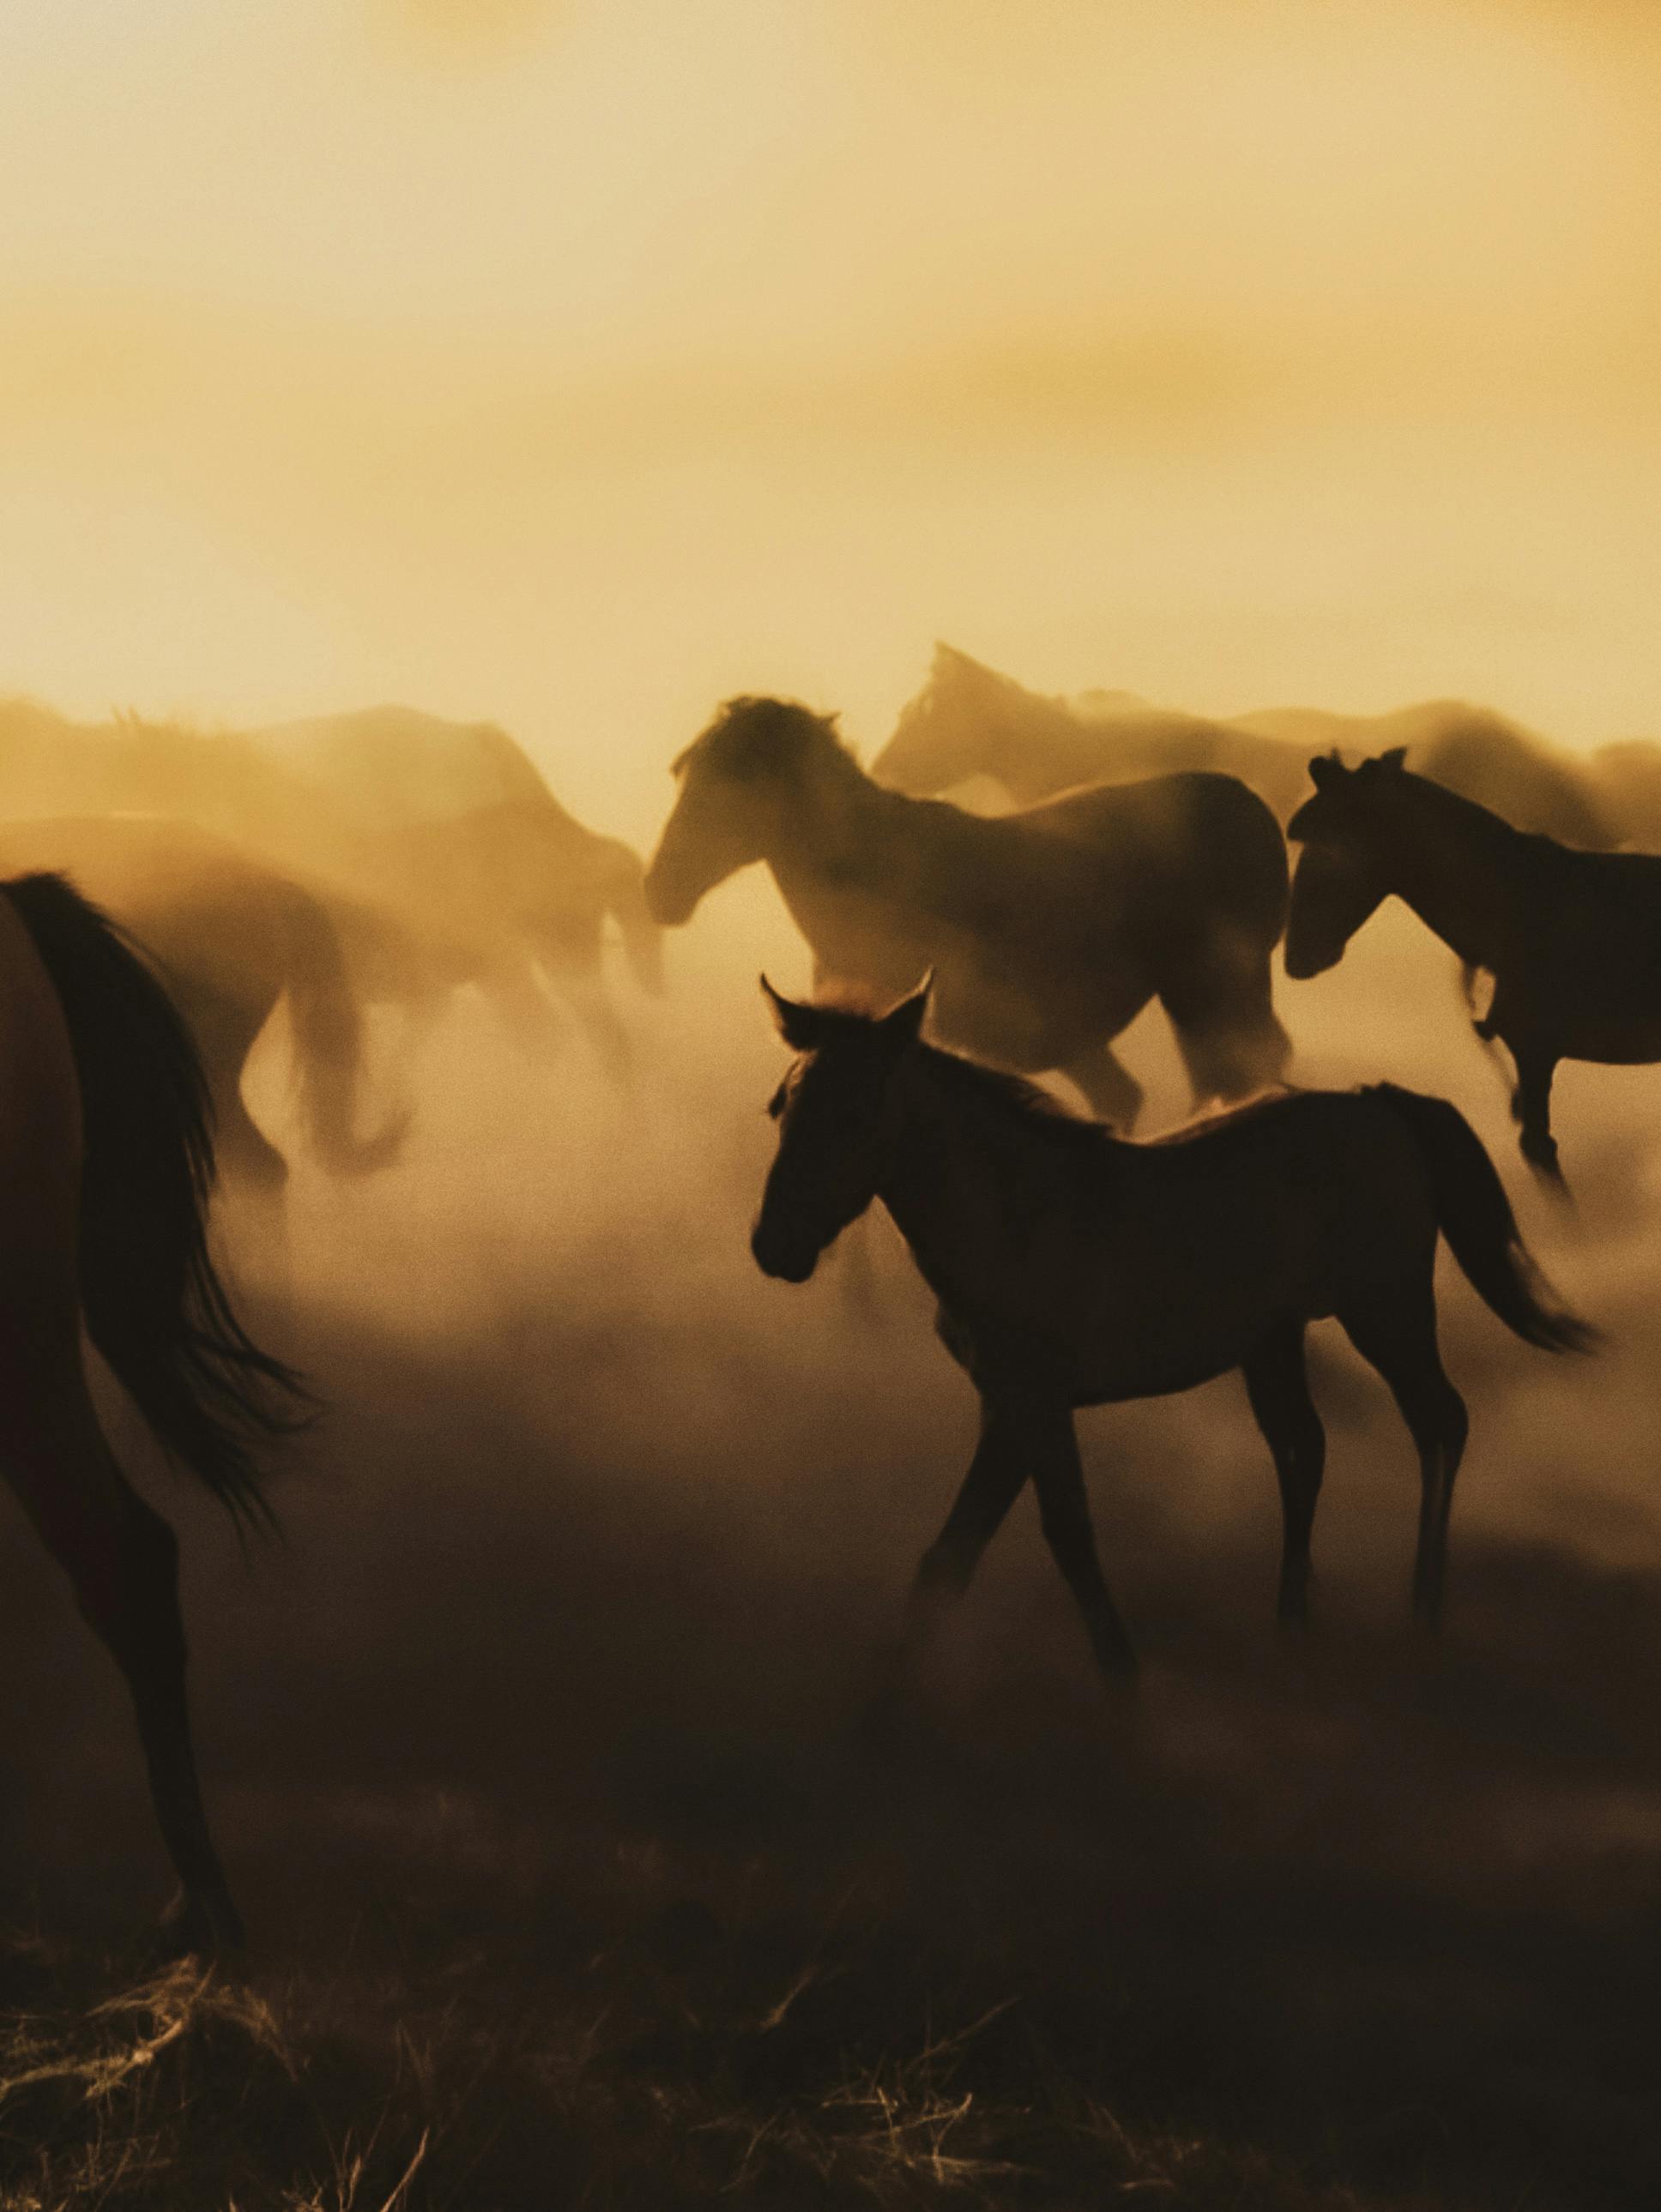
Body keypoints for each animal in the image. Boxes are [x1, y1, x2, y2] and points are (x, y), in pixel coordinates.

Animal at [751, 980, 1590, 1680]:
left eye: (856, 1114)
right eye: (781, 1105)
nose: (773, 1245)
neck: (1017, 1217)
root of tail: (1376, 1103)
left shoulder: (1032, 1402)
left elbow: (1035, 1539)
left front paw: (1120, 1679)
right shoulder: (1010, 1404)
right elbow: (973, 1549)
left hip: (1387, 1312)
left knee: (1438, 1421)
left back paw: (1424, 1608)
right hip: (1274, 1340)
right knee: (1304, 1447)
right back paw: (1293, 1620)